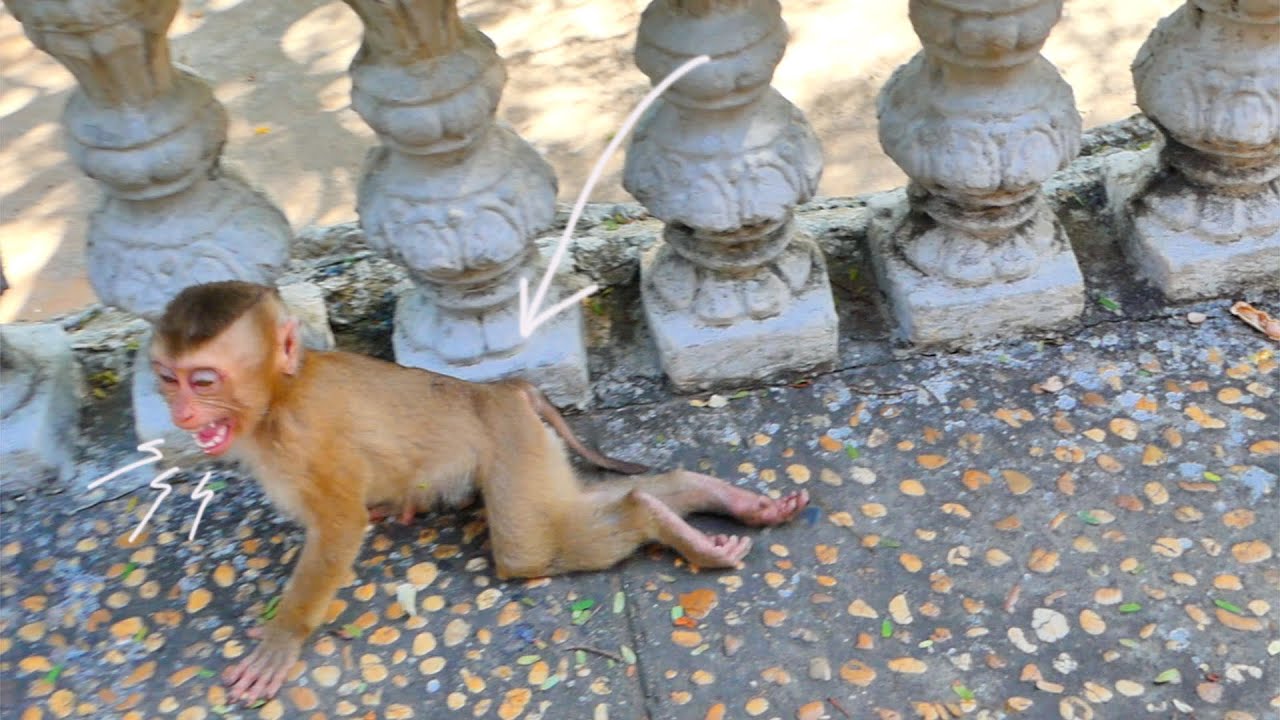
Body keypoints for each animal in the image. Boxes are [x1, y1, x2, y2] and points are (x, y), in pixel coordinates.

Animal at [149, 280, 810, 703]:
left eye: (203, 381)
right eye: (167, 379)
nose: (180, 412)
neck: (277, 397)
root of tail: (503, 387)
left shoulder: (303, 439)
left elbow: (338, 527)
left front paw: (281, 642)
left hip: (511, 443)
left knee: (532, 547)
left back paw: (660, 522)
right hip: (531, 444)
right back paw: (715, 498)